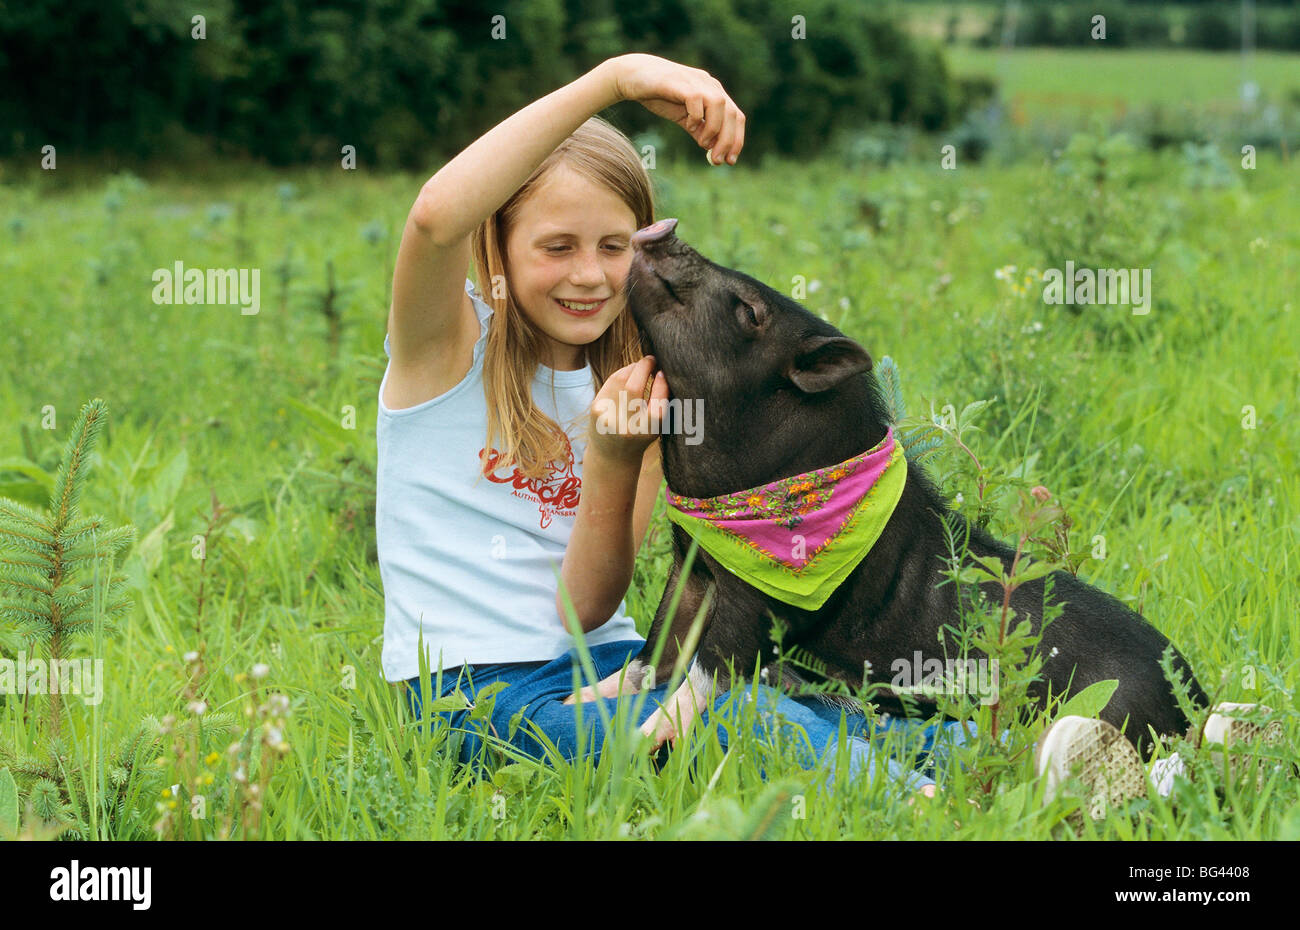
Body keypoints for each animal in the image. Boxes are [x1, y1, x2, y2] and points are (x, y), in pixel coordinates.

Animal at [591, 217, 1208, 758]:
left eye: (749, 310)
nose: (664, 228)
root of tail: (1193, 701)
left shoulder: (763, 603)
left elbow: (705, 671)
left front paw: (633, 747)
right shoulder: (693, 567)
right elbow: (654, 649)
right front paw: (585, 697)